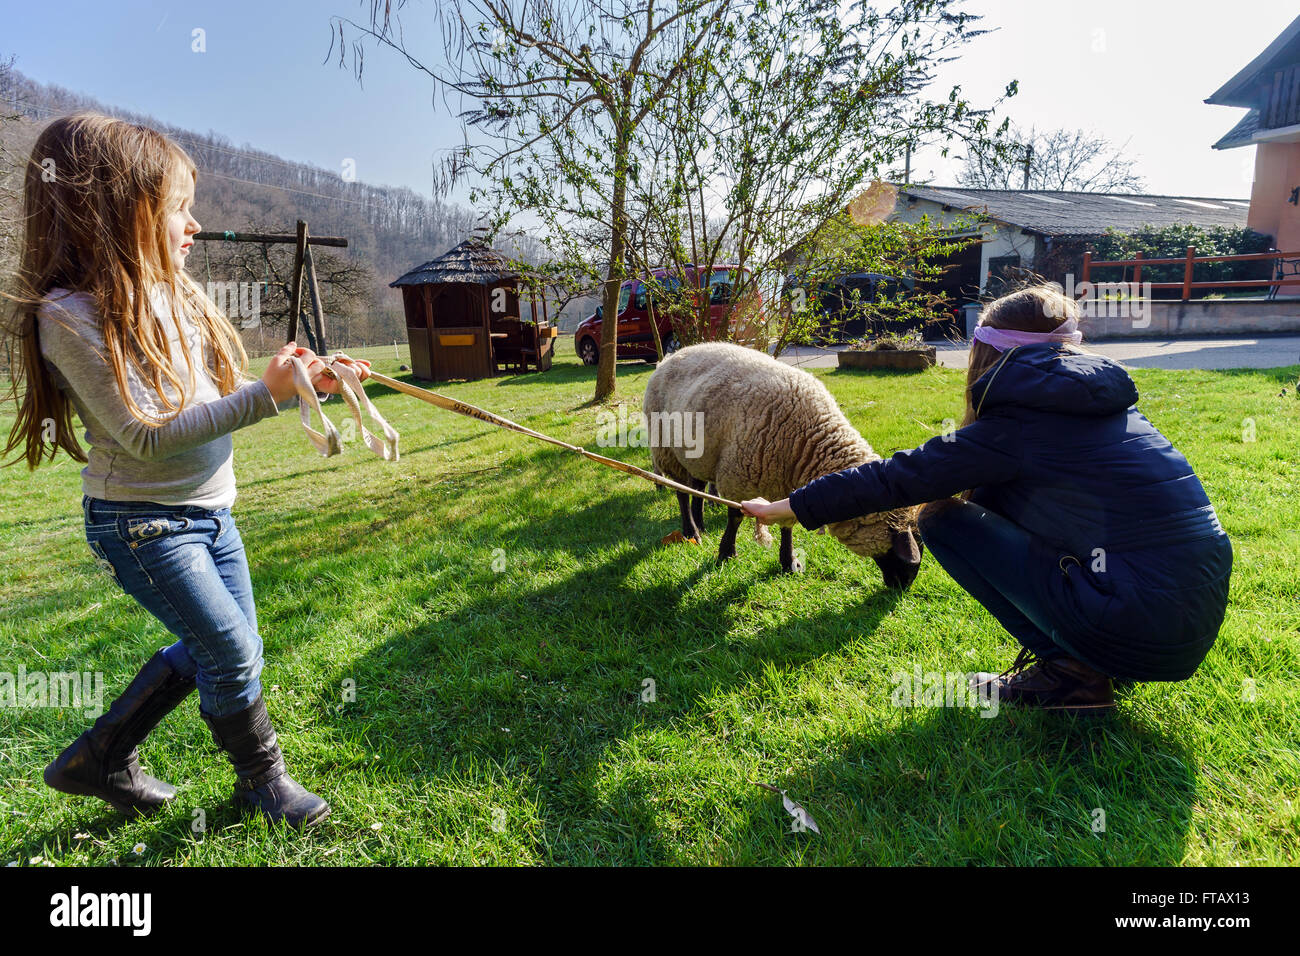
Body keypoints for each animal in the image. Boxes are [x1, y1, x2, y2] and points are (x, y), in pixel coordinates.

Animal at [643, 342, 924, 588]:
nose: (903, 586)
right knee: (681, 492)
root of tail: (673, 355)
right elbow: (735, 517)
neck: (806, 438)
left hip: (698, 454)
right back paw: (691, 532)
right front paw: (727, 553)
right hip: (666, 448)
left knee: (697, 487)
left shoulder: (786, 486)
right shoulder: (736, 478)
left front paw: (788, 562)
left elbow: (787, 525)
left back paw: (699, 523)